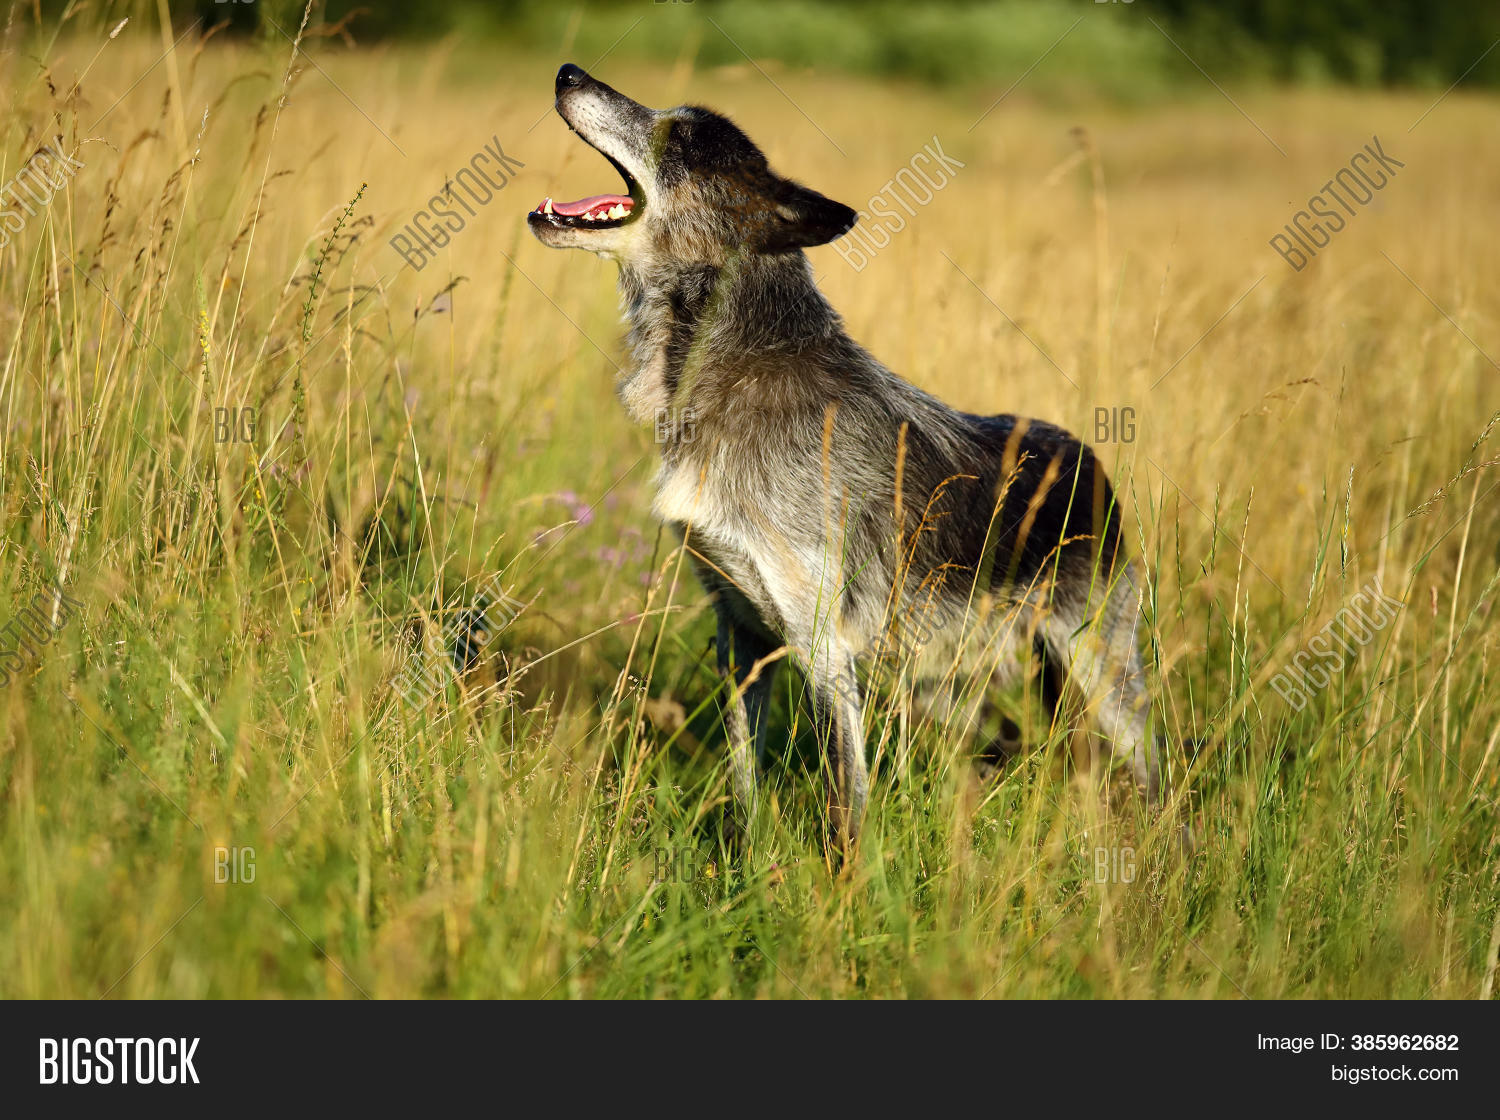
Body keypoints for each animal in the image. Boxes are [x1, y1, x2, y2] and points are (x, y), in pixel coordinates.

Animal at [529, 63, 1163, 845]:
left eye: (677, 137)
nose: (568, 72)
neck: (728, 364)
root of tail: (1092, 463)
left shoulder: (821, 646)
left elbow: (844, 801)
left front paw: (843, 877)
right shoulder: (741, 635)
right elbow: (744, 779)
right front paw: (747, 860)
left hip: (1102, 675)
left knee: (1160, 782)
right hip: (958, 686)